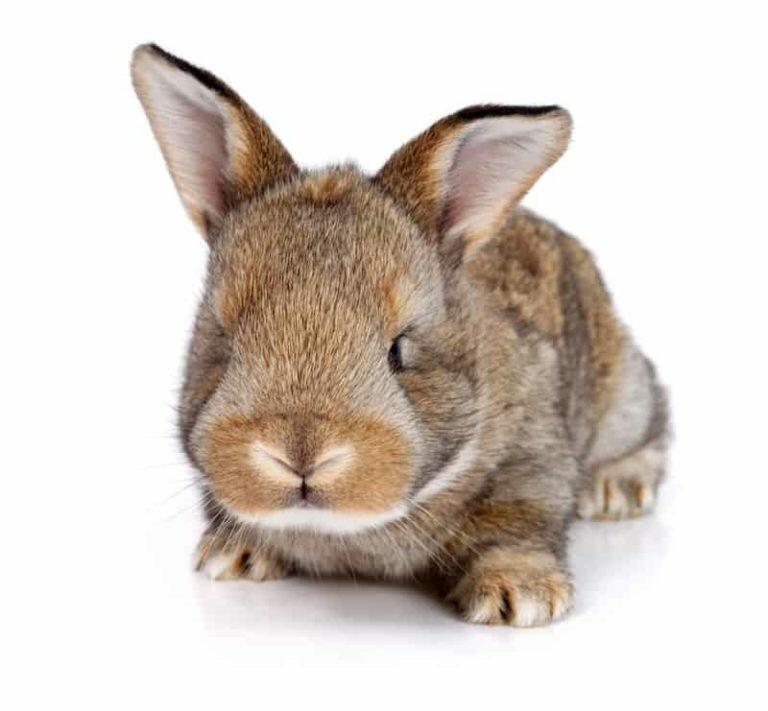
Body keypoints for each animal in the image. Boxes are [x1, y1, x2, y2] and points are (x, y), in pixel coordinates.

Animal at [131, 43, 669, 627]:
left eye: (399, 349)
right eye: (224, 341)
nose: (301, 457)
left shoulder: (531, 460)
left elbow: (516, 521)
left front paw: (519, 596)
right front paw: (235, 554)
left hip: (624, 396)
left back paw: (616, 489)